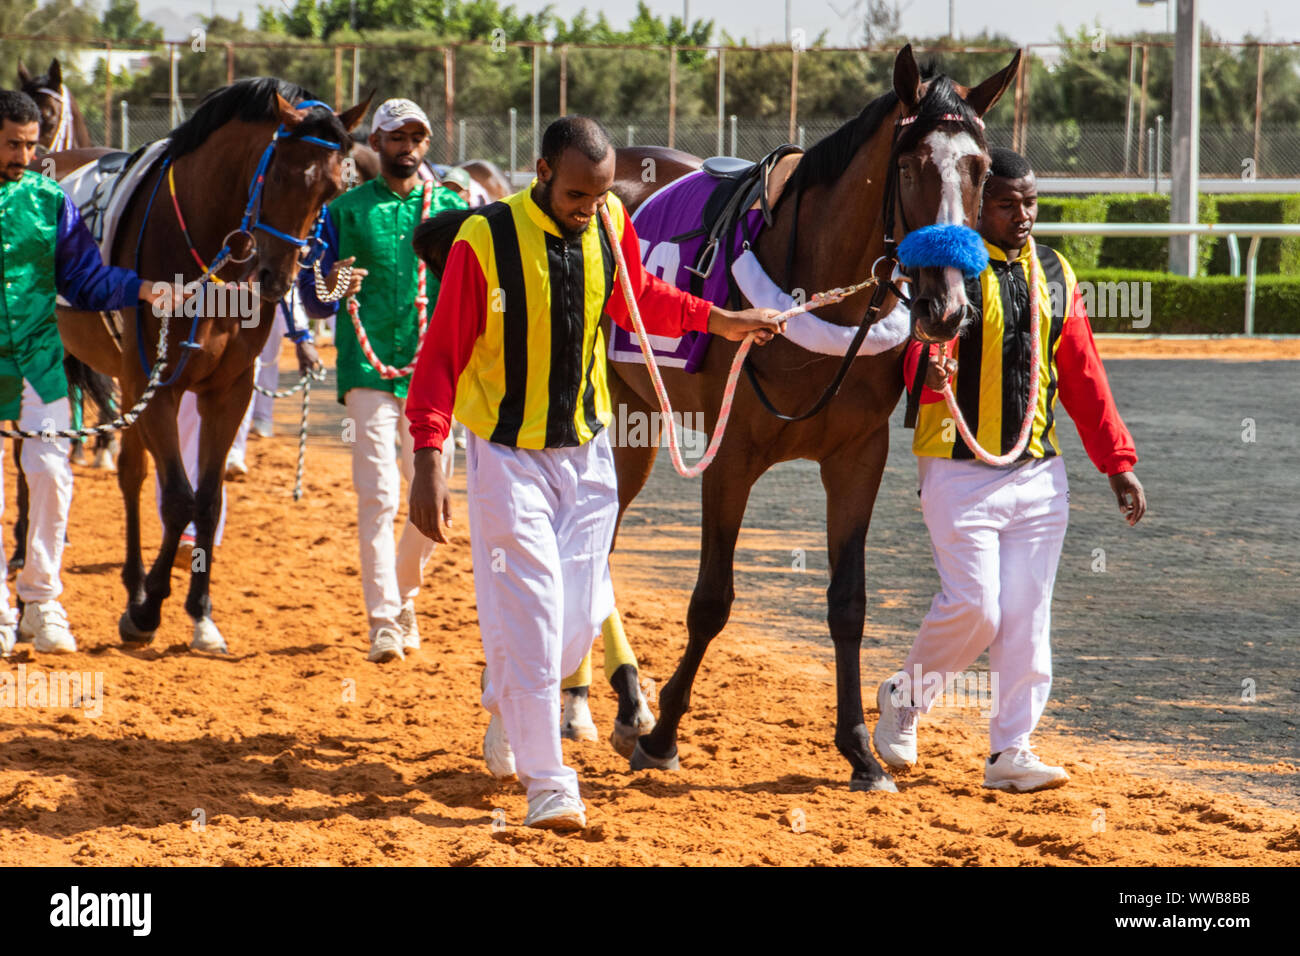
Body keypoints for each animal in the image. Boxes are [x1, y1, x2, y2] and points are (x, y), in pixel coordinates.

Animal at [54, 77, 370, 653]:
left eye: (333, 189)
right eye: (279, 174)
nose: (275, 279)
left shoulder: (228, 389)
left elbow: (209, 498)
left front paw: (199, 612)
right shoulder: (157, 383)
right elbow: (179, 498)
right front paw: (147, 612)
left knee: (132, 474)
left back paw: (133, 581)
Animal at [599, 45, 1021, 790]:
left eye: (977, 169)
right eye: (909, 166)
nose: (946, 307)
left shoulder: (857, 456)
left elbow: (848, 602)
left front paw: (859, 749)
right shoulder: (731, 456)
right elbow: (711, 600)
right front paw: (666, 735)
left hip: (637, 418)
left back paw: (622, 702)